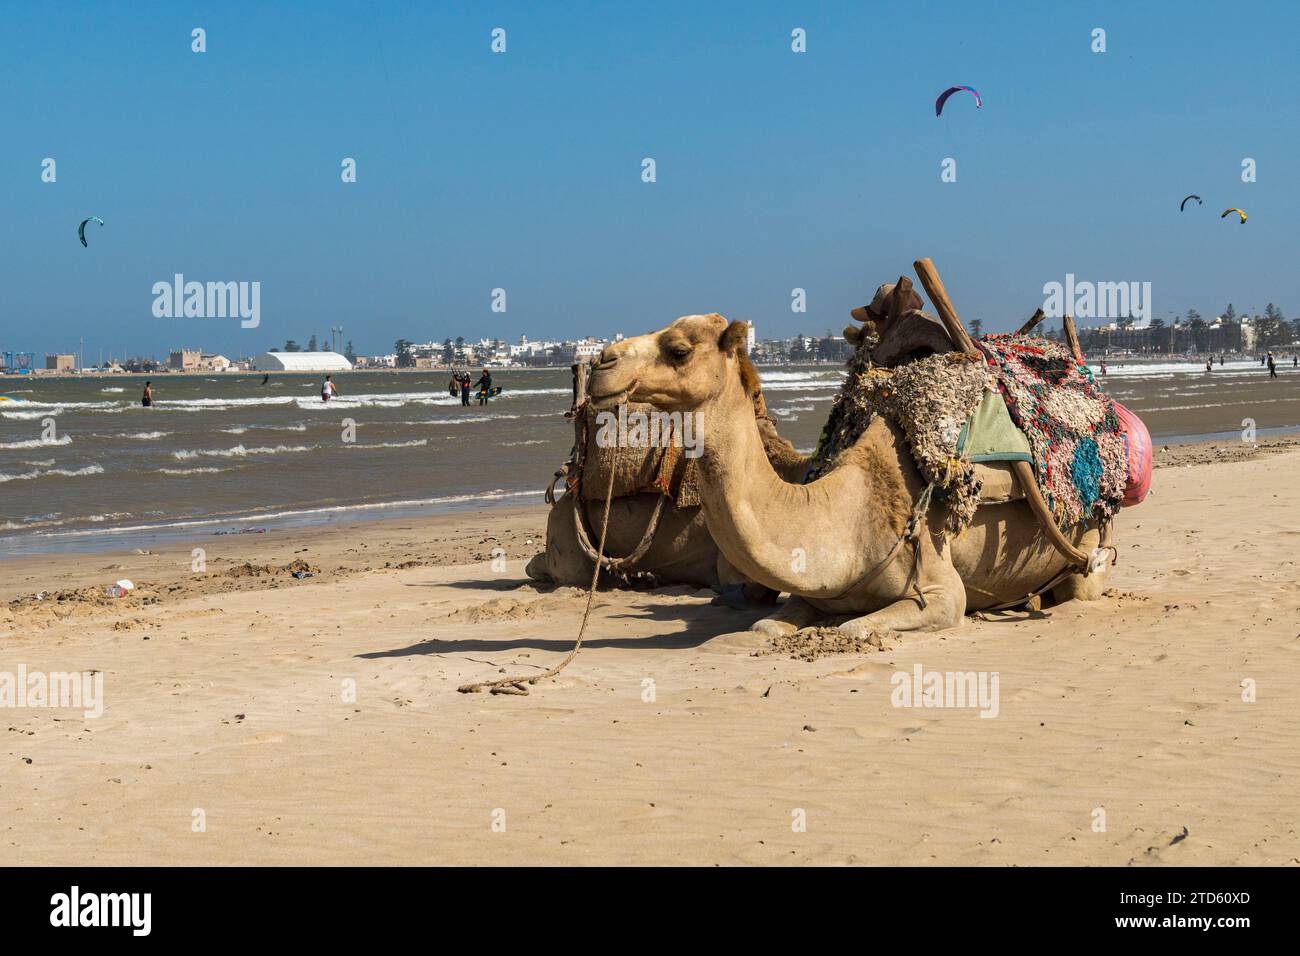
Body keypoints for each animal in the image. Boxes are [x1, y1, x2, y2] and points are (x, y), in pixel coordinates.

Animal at [586, 310, 1112, 638]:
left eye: (678, 349)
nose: (600, 363)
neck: (848, 514)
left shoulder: (940, 586)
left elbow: (857, 626)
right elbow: (767, 624)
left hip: (1089, 539)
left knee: (1083, 582)